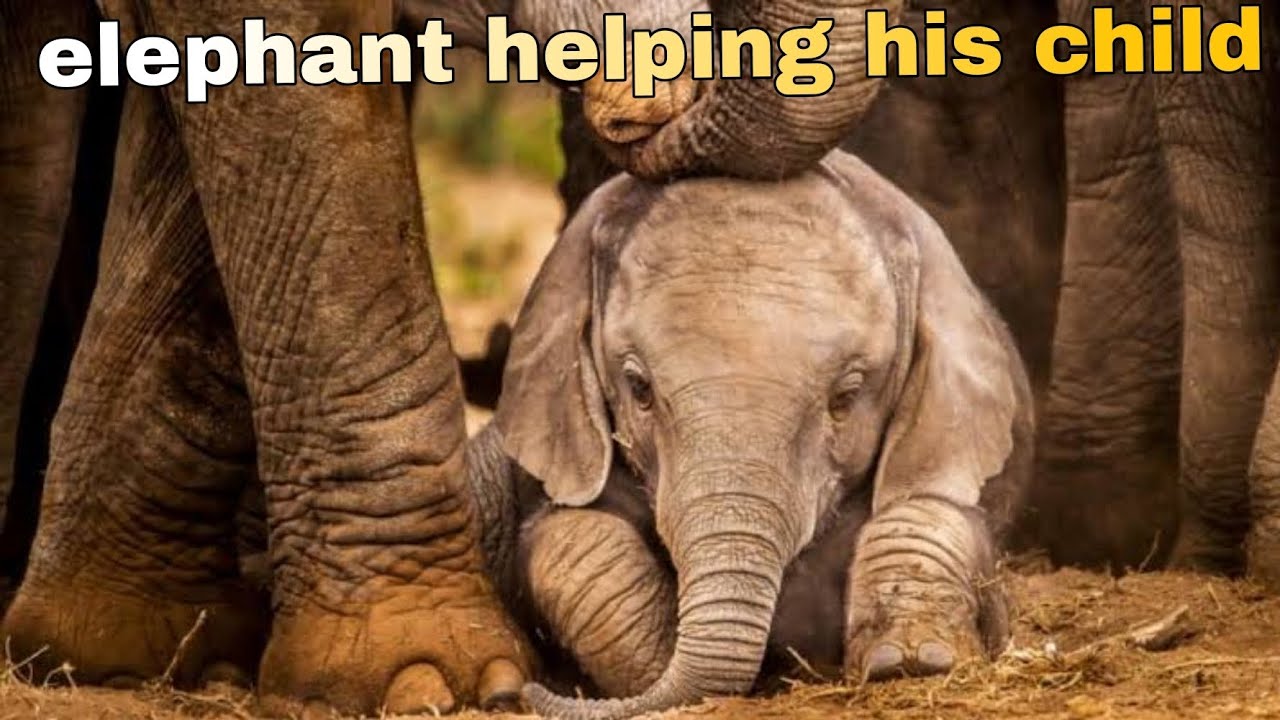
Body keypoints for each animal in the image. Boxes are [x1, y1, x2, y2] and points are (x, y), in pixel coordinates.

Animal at [466, 149, 1033, 720]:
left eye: (846, 397)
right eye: (638, 388)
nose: (522, 695)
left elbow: (928, 511)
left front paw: (909, 661)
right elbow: (573, 537)